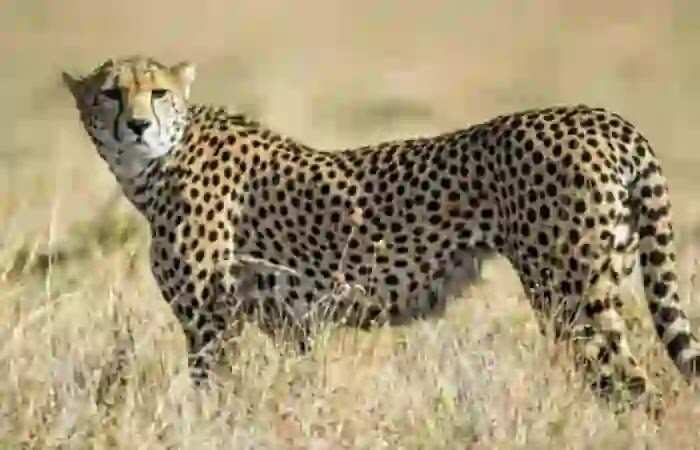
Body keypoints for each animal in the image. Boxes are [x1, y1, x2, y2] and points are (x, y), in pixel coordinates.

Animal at [62, 56, 700, 411]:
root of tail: (604, 117)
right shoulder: (292, 325)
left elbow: (209, 392)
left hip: (572, 296)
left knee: (632, 384)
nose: (138, 124)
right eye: (110, 92)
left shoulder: (211, 325)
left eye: (158, 91)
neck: (156, 164)